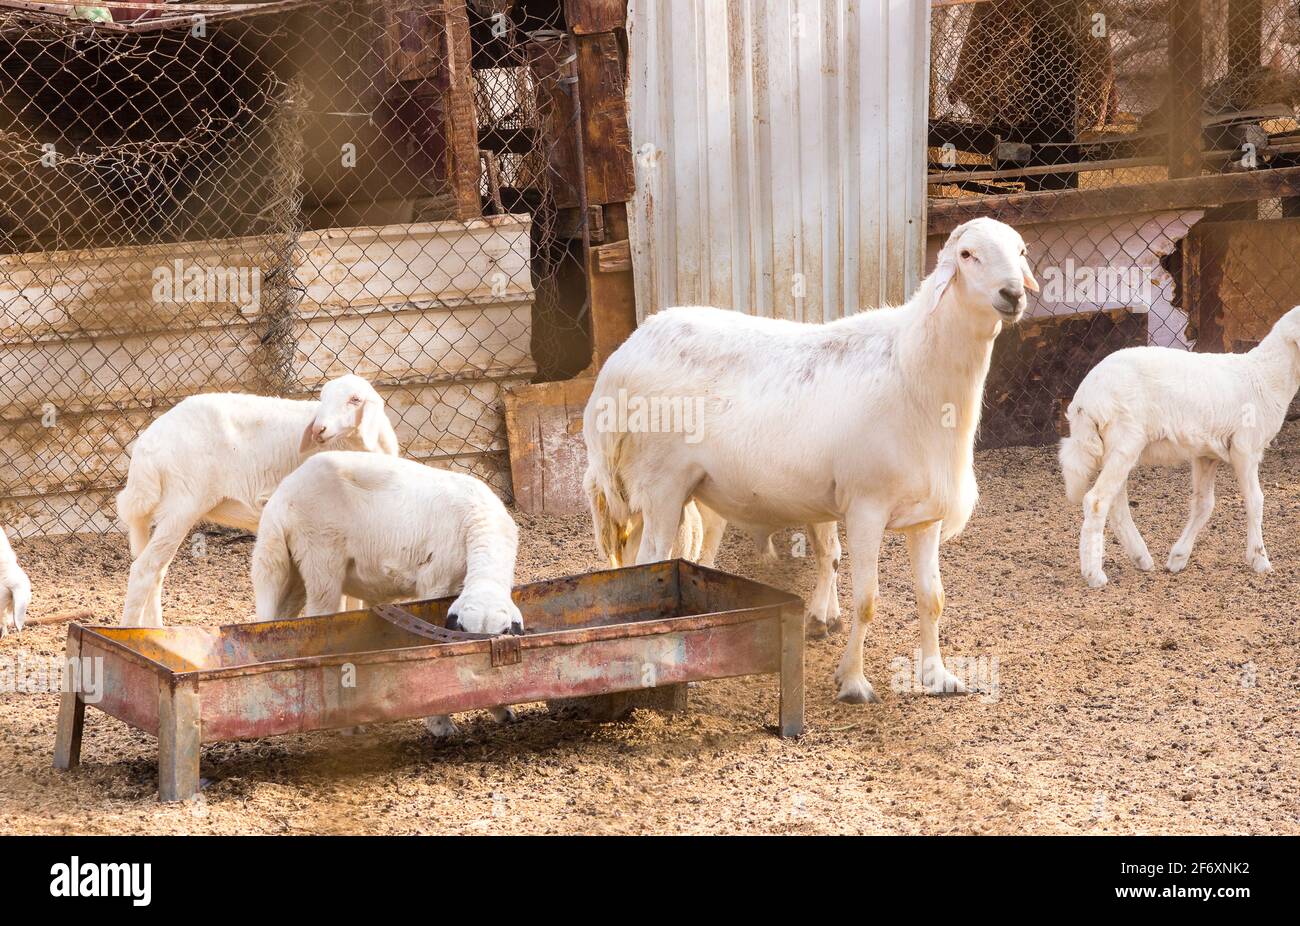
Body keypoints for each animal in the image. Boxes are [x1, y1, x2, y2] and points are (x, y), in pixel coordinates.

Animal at [116, 374, 399, 627]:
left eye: (355, 399)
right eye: (323, 398)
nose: (320, 429)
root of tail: (147, 444)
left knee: (156, 571)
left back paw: (155, 631)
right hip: (183, 504)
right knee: (144, 570)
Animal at [584, 217, 1037, 702]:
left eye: (1021, 250)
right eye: (968, 255)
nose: (1013, 294)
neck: (914, 371)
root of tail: (623, 355)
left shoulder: (926, 515)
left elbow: (932, 598)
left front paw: (937, 675)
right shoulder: (865, 507)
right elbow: (866, 601)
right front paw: (853, 681)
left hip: (664, 490)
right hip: (661, 483)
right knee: (649, 561)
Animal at [1060, 305, 1300, 587]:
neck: (1266, 376)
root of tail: (1084, 399)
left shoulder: (1207, 454)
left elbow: (1204, 504)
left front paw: (1178, 558)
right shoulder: (1245, 448)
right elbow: (1256, 500)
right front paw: (1260, 559)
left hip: (1117, 448)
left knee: (1116, 504)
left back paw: (1141, 558)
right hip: (1124, 442)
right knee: (1097, 501)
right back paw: (1094, 574)